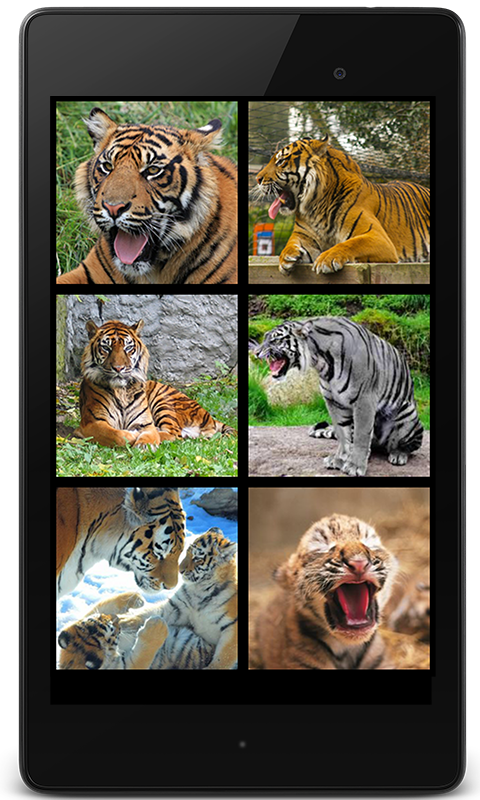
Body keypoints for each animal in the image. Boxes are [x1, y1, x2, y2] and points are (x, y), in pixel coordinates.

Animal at [76, 319, 236, 448]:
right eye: (106, 348)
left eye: (128, 348)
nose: (119, 368)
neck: (121, 390)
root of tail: (210, 417)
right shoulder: (92, 422)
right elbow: (116, 434)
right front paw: (133, 435)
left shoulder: (145, 423)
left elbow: (150, 434)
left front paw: (145, 445)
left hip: (163, 401)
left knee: (174, 433)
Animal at [255, 134, 429, 276]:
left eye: (281, 161)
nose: (257, 179)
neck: (314, 207)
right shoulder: (303, 235)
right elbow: (291, 243)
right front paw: (286, 258)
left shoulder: (378, 237)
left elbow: (350, 244)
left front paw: (325, 259)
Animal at [255, 317, 424, 477]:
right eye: (265, 337)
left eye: (276, 340)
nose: (255, 353)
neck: (322, 362)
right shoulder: (333, 402)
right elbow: (342, 433)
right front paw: (340, 459)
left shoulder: (364, 400)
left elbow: (362, 436)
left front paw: (355, 466)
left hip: (407, 411)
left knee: (408, 446)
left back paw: (398, 454)